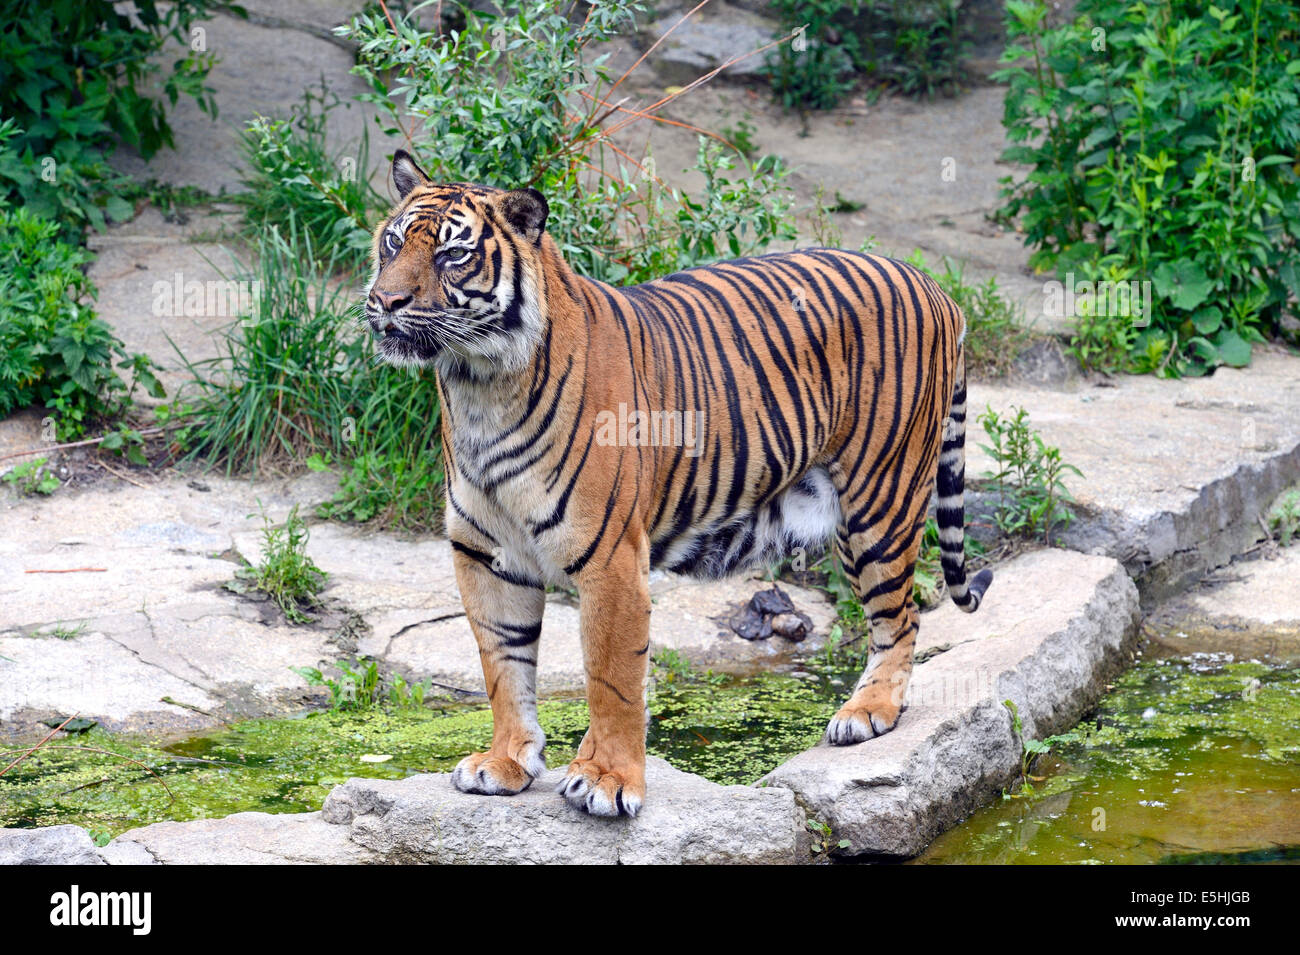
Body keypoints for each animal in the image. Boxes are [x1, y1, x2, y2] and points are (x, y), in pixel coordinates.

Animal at [365, 149, 993, 818]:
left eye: (453, 254)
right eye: (394, 242)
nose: (385, 300)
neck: (479, 384)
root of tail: (934, 286)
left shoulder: (610, 559)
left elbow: (612, 679)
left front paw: (607, 780)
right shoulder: (485, 555)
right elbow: (502, 667)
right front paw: (505, 763)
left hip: (880, 502)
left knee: (901, 616)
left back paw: (867, 712)